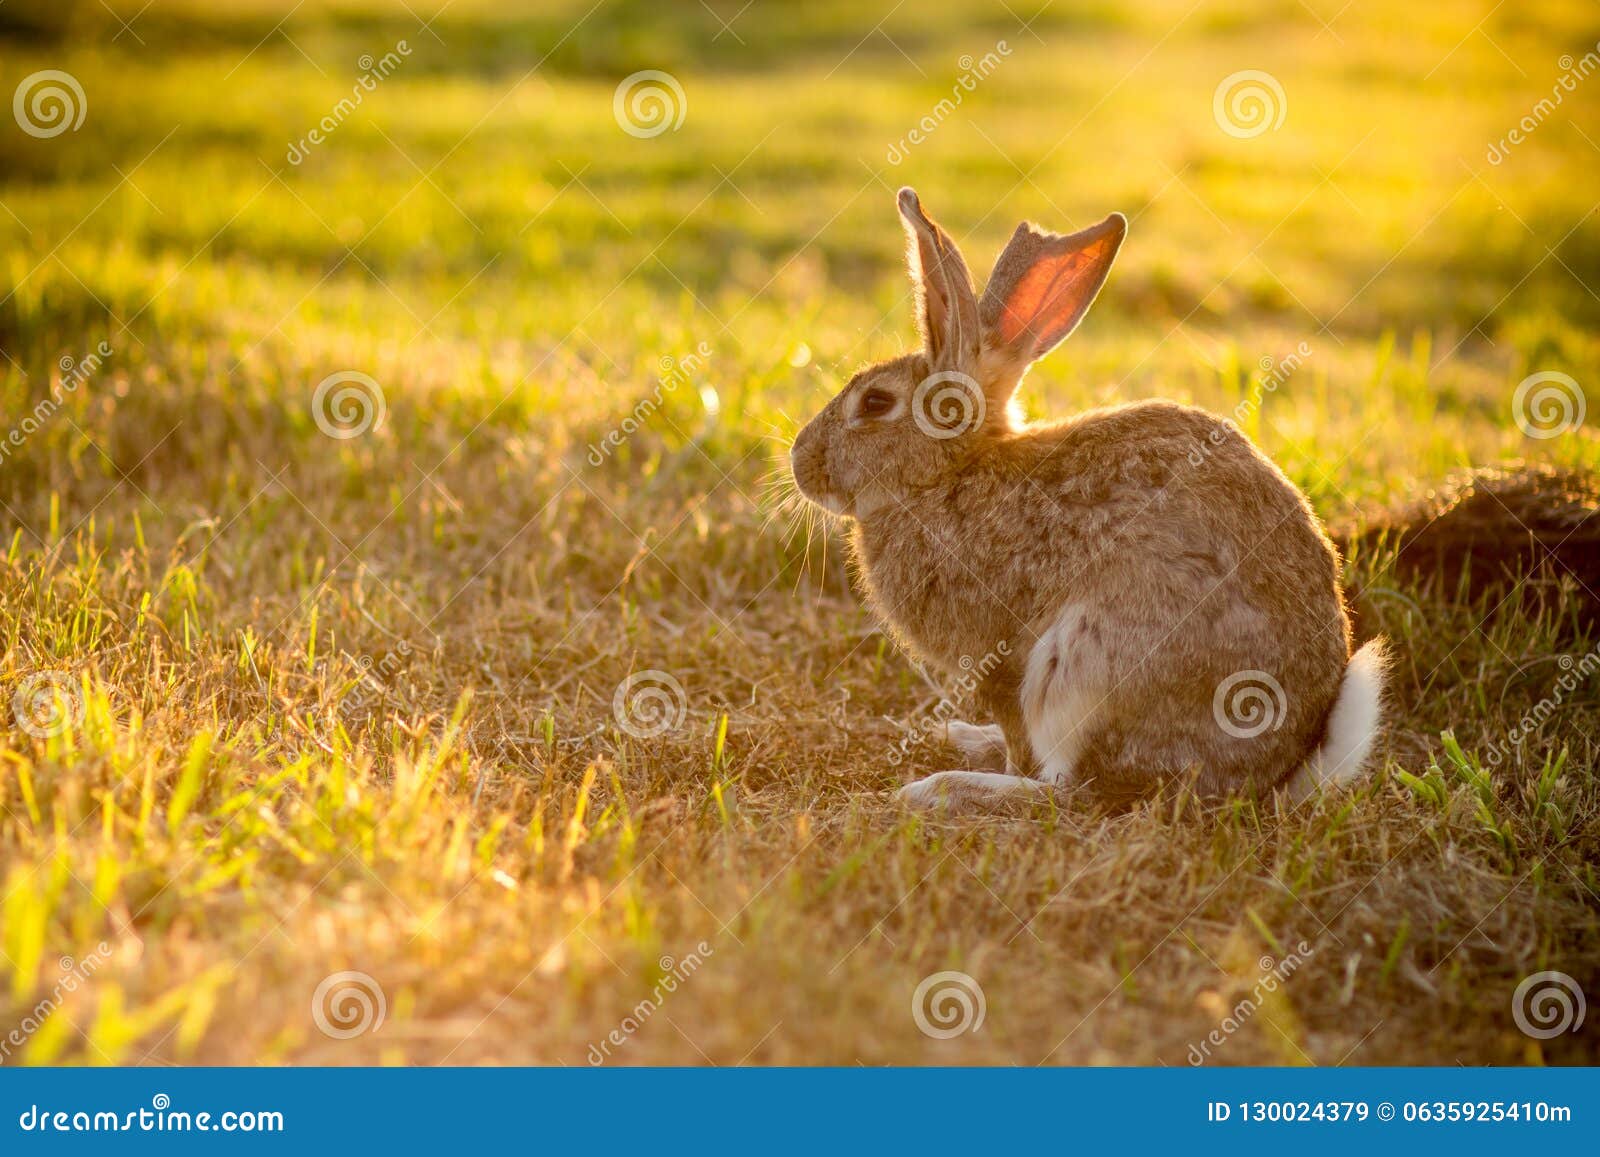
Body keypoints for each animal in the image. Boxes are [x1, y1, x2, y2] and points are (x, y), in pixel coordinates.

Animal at [789, 187, 1388, 811]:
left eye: (875, 403)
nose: (798, 462)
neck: (948, 475)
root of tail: (1271, 774)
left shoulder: (1004, 660)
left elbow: (1017, 732)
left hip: (1086, 668)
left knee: (1078, 793)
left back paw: (948, 786)